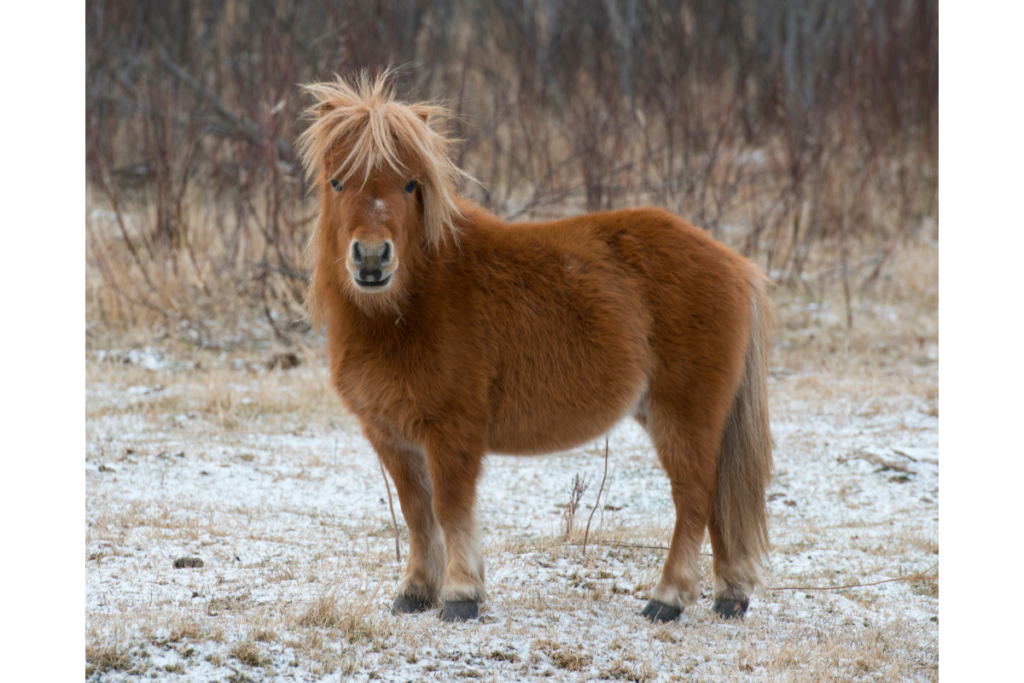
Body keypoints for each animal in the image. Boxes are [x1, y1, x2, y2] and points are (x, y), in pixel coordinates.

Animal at [296, 71, 774, 624]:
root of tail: (735, 264)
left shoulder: (452, 431)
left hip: (684, 415)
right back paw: (730, 596)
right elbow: (417, 513)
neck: (409, 307)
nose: (372, 259)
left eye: (410, 184)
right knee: (718, 503)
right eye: (337, 181)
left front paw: (460, 596)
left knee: (695, 498)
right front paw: (415, 592)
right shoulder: (391, 436)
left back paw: (667, 599)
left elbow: (450, 507)